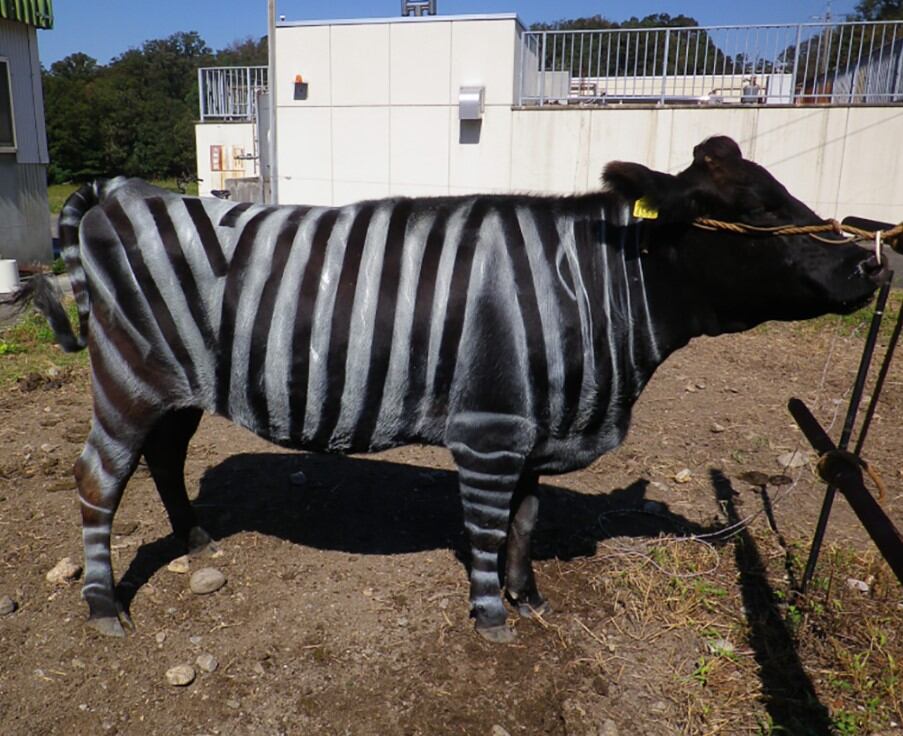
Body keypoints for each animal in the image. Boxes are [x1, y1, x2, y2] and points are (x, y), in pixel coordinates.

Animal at [12, 136, 884, 642]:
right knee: (99, 479)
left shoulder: (536, 426)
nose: (870, 262)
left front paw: (530, 601)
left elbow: (526, 522)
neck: (589, 291)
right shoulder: (491, 430)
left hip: (179, 384)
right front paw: (493, 618)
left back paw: (194, 539)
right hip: (127, 378)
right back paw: (104, 608)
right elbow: (491, 528)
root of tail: (124, 191)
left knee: (162, 457)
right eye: (746, 212)